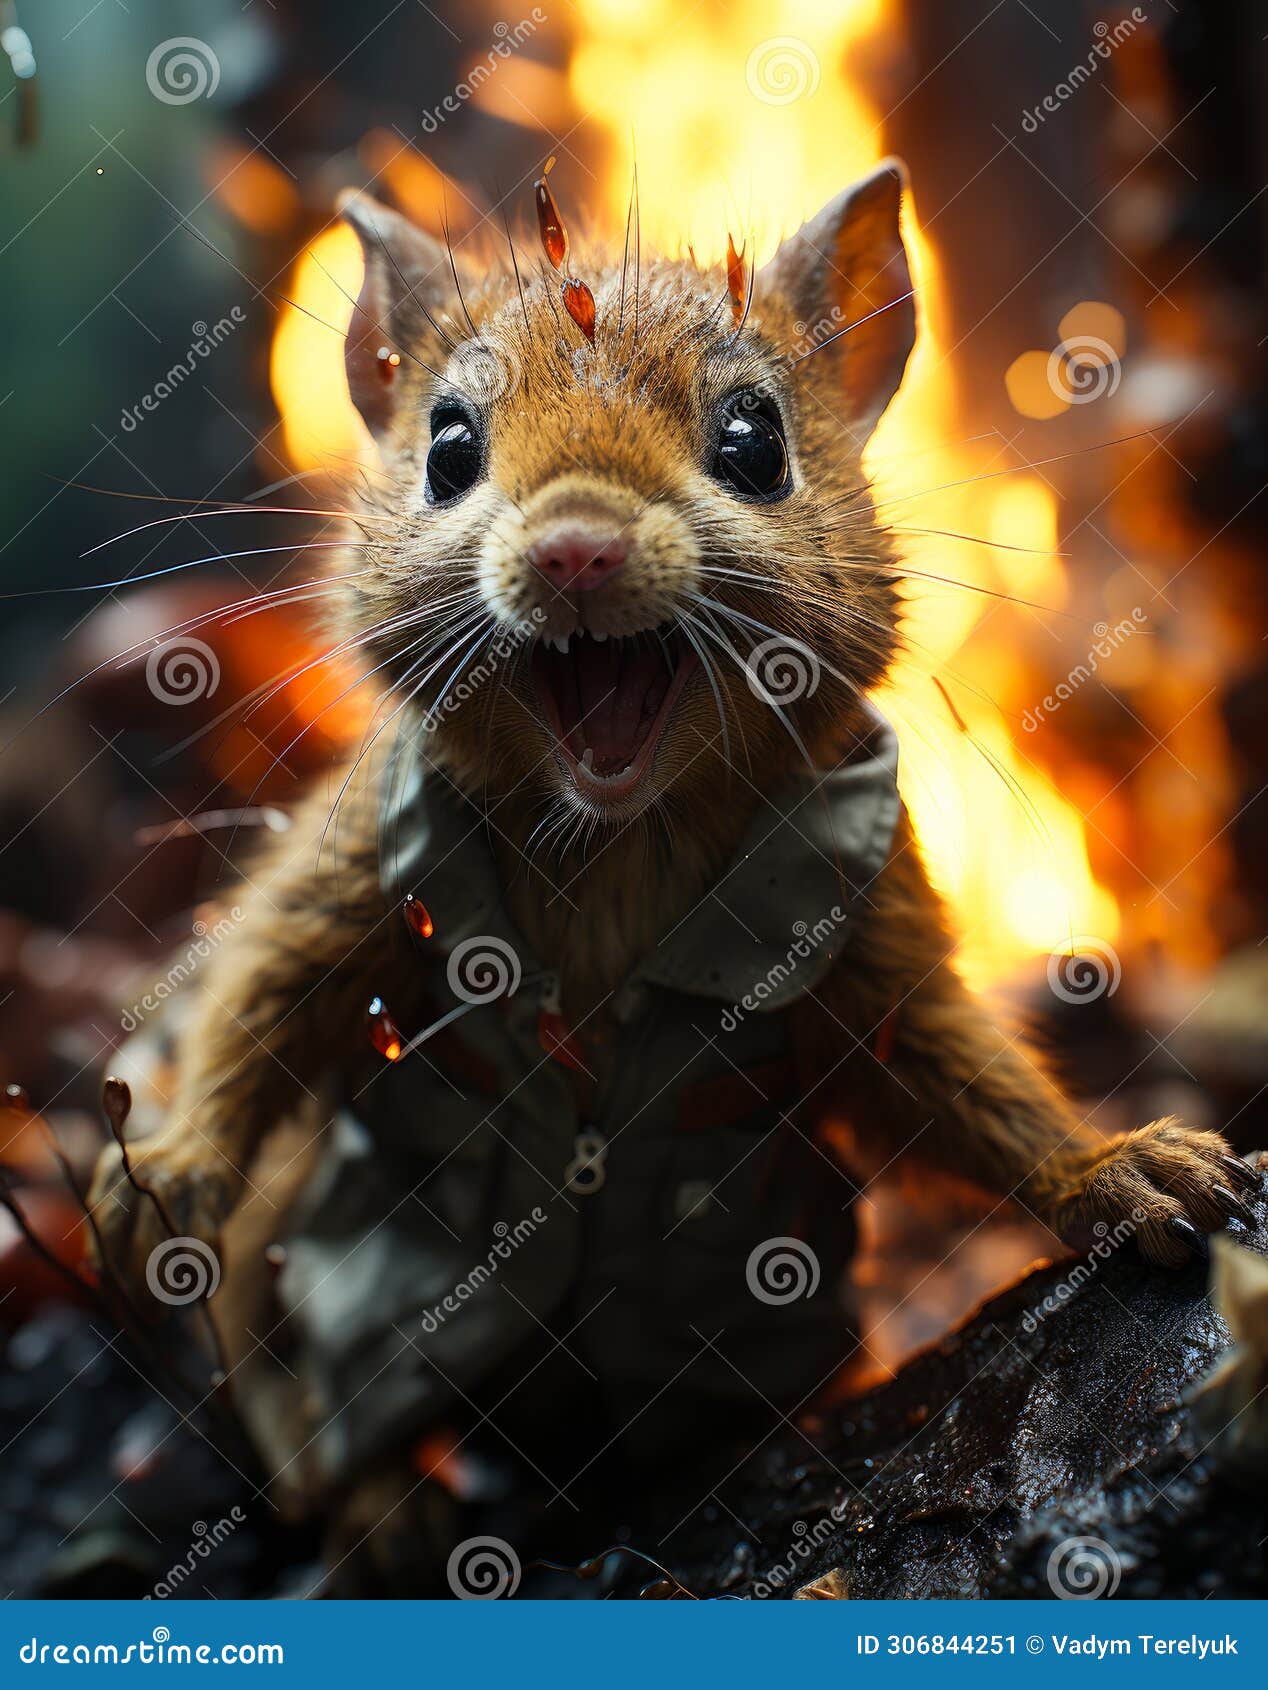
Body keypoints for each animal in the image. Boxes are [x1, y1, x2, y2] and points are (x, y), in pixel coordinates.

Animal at [87, 158, 1259, 1531]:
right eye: (446, 447)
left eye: (756, 442)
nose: (574, 545)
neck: (611, 839)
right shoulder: (348, 871)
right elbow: (256, 998)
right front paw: (165, 1173)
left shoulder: (859, 923)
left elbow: (961, 1079)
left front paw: (1121, 1172)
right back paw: (392, 1510)